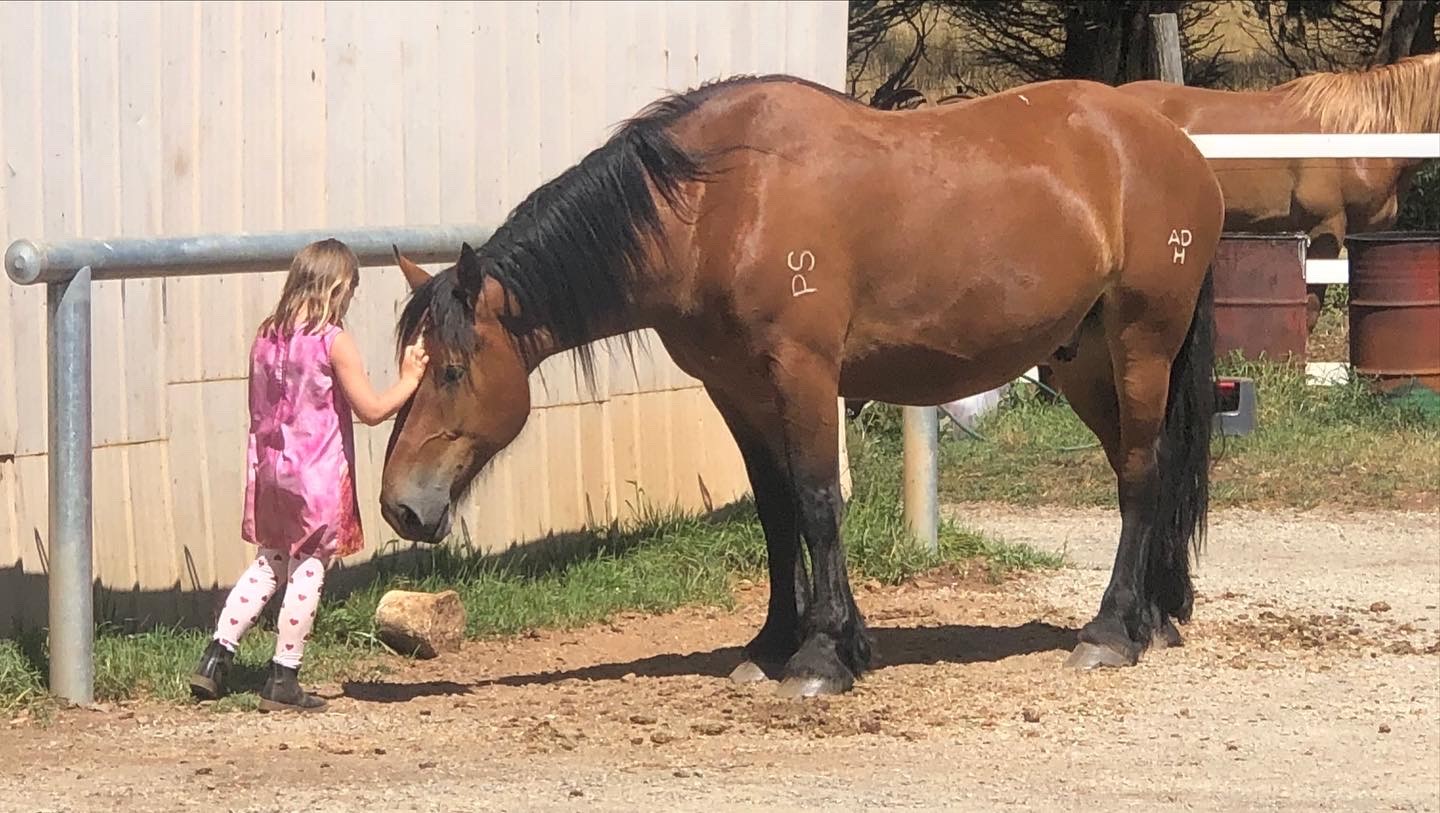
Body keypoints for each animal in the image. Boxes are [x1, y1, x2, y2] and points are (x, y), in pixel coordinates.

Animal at [379, 74, 1225, 698]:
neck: (717, 202)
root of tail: (1175, 144)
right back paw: (1154, 616)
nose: (401, 505)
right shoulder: (736, 389)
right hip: (1082, 361)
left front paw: (822, 655)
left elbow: (819, 503)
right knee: (1145, 471)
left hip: (1142, 344)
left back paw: (1111, 631)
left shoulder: (805, 373)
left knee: (1141, 476)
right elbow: (777, 511)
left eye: (451, 369)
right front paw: (774, 643)